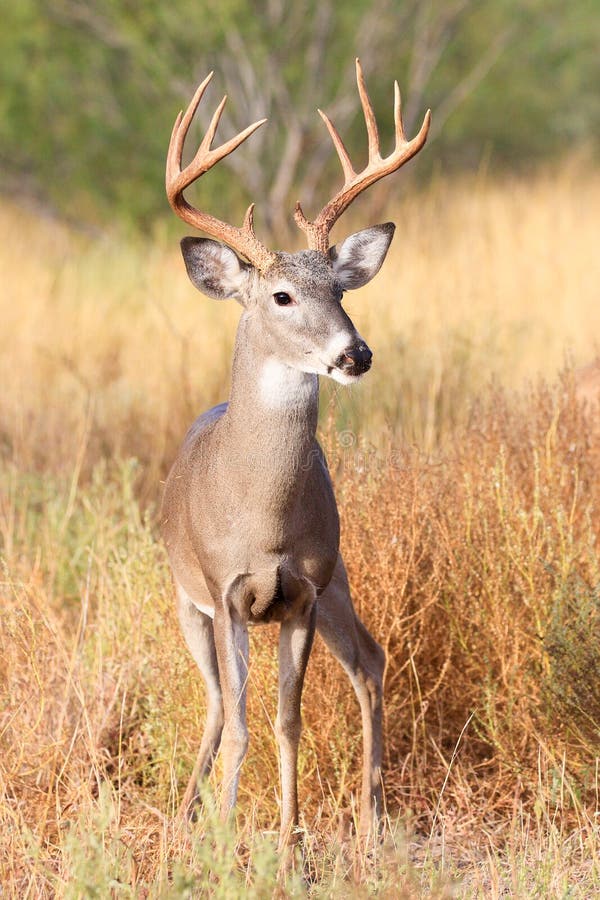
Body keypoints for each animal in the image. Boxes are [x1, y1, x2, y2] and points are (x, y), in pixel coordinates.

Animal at [161, 59, 430, 850]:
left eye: (341, 288)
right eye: (281, 295)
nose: (355, 353)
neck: (263, 516)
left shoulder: (304, 588)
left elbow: (288, 721)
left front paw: (288, 841)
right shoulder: (224, 590)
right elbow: (243, 722)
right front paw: (226, 837)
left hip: (340, 576)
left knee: (369, 659)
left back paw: (373, 816)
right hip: (184, 600)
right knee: (216, 704)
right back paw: (187, 814)